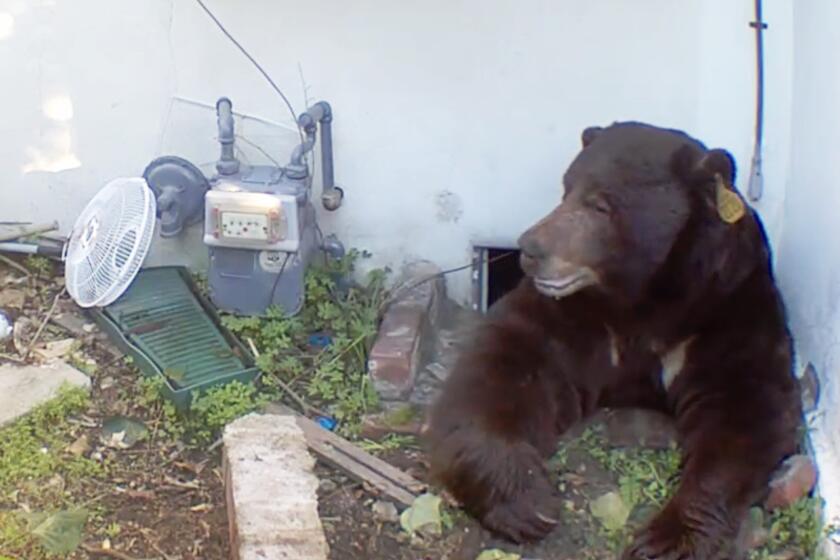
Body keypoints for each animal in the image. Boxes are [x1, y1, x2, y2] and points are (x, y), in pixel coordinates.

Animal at [424, 122, 803, 559]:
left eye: (600, 205)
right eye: (566, 188)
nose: (530, 248)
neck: (644, 300)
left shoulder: (727, 309)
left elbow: (746, 409)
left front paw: (666, 539)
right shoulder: (576, 318)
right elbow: (503, 366)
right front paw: (529, 501)